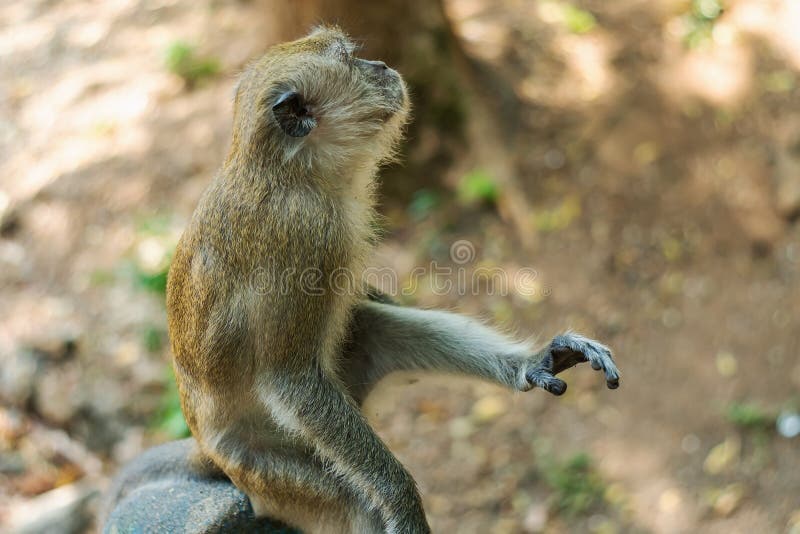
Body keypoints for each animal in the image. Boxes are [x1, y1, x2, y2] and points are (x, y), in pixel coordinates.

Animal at [165, 26, 620, 534]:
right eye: (350, 59)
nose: (382, 66)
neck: (289, 170)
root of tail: (208, 448)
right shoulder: (304, 234)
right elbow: (289, 379)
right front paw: (400, 494)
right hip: (267, 469)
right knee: (348, 497)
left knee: (376, 327)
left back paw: (529, 364)